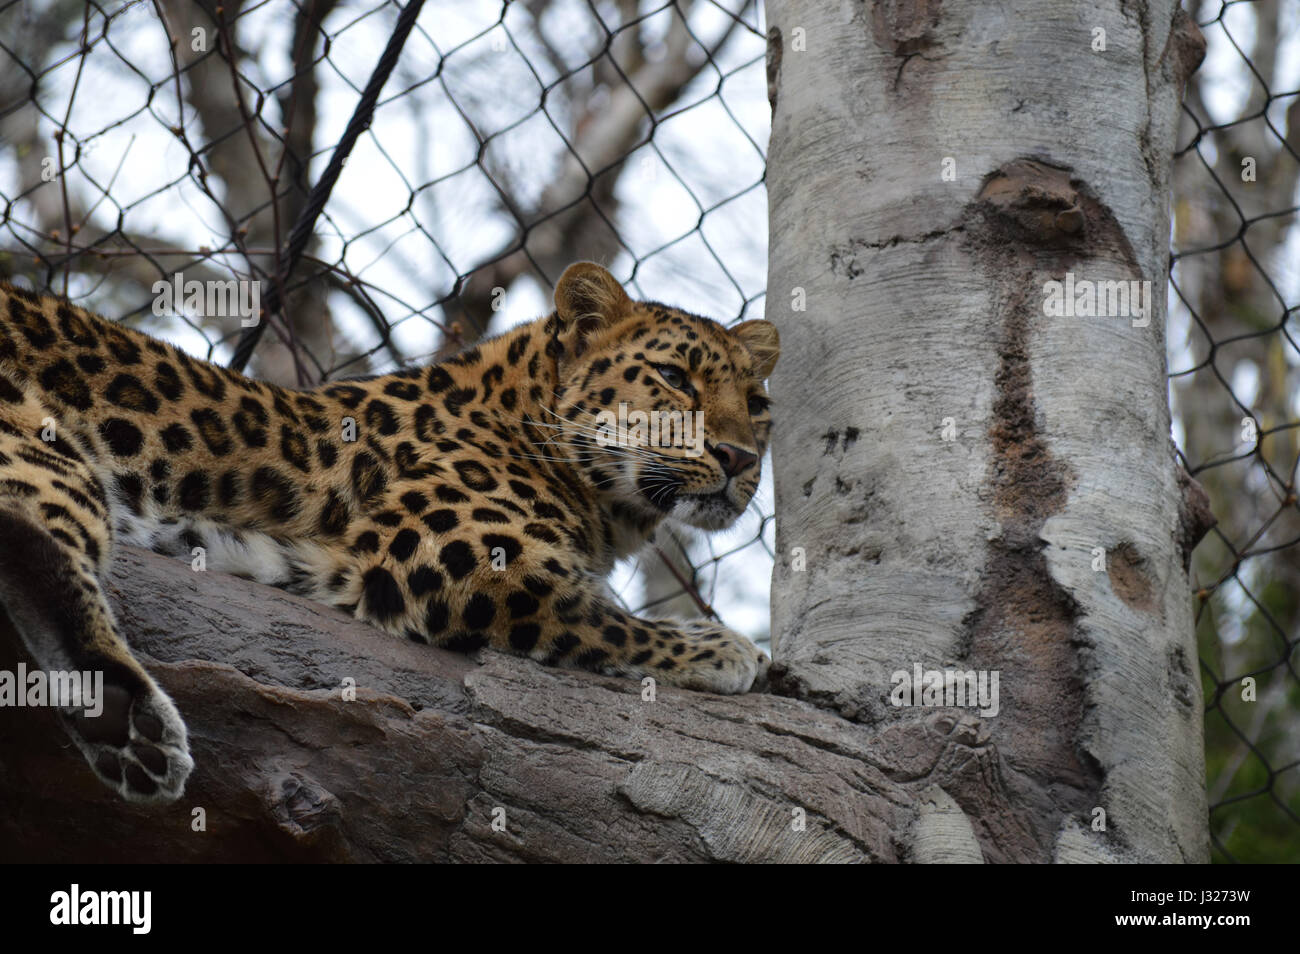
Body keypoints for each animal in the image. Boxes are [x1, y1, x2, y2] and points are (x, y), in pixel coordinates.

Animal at [0, 261, 779, 804]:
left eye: (759, 404)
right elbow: (611, 621)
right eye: (674, 376)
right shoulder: (456, 555)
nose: (740, 458)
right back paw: (135, 727)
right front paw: (728, 650)